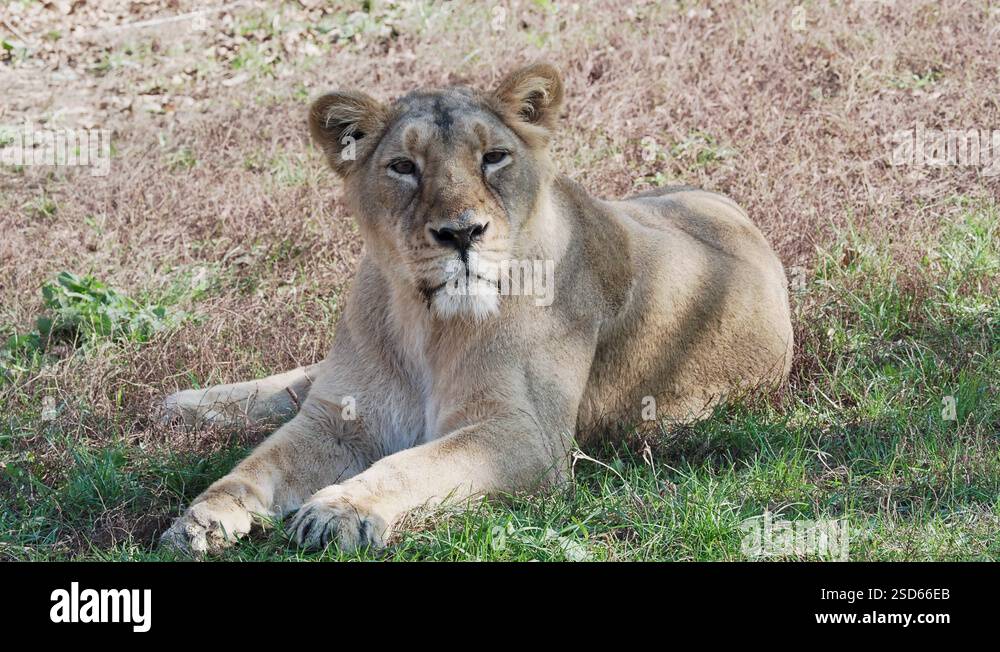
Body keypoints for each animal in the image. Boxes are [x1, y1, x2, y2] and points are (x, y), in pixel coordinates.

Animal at [159, 63, 793, 555]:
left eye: (494, 157)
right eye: (403, 166)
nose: (461, 233)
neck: (425, 323)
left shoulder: (526, 435)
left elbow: (414, 464)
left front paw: (339, 510)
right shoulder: (336, 420)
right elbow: (257, 466)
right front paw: (200, 519)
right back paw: (183, 405)